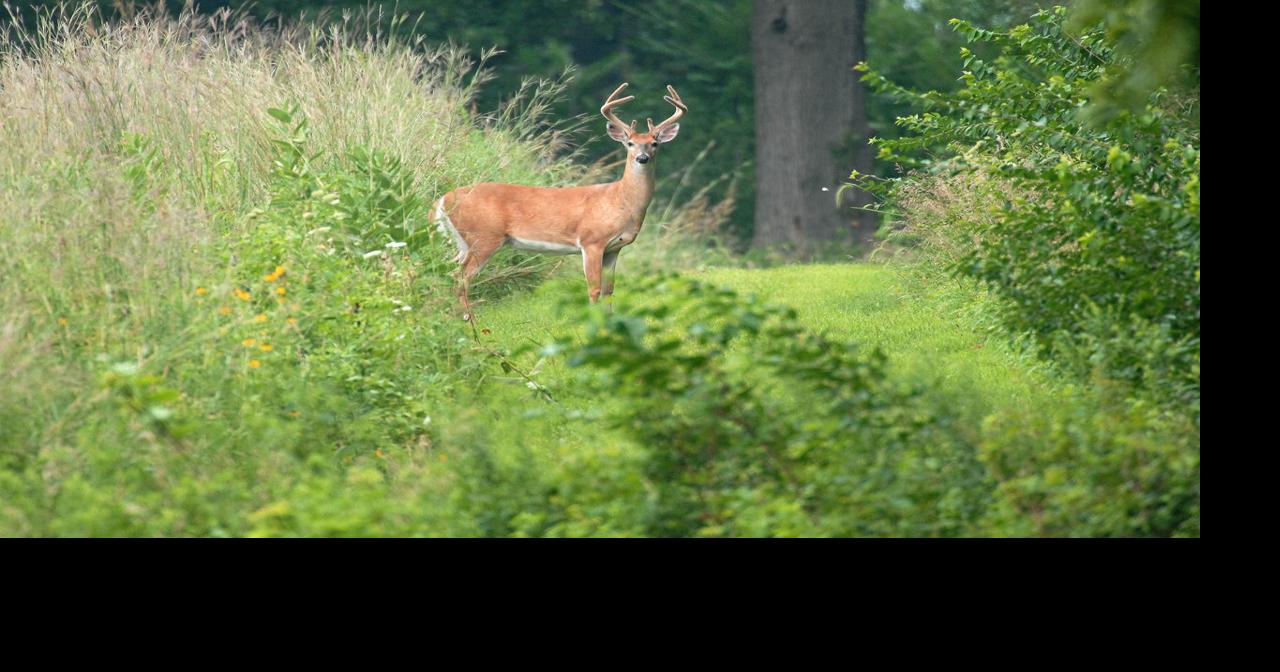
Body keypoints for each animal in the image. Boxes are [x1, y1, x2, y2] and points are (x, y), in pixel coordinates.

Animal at [433, 83, 686, 321]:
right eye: (630, 143)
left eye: (655, 143)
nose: (642, 158)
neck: (620, 201)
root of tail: (443, 199)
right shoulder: (591, 241)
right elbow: (594, 289)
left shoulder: (615, 247)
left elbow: (609, 290)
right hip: (484, 236)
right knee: (461, 276)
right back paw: (469, 318)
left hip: (463, 240)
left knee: (451, 271)